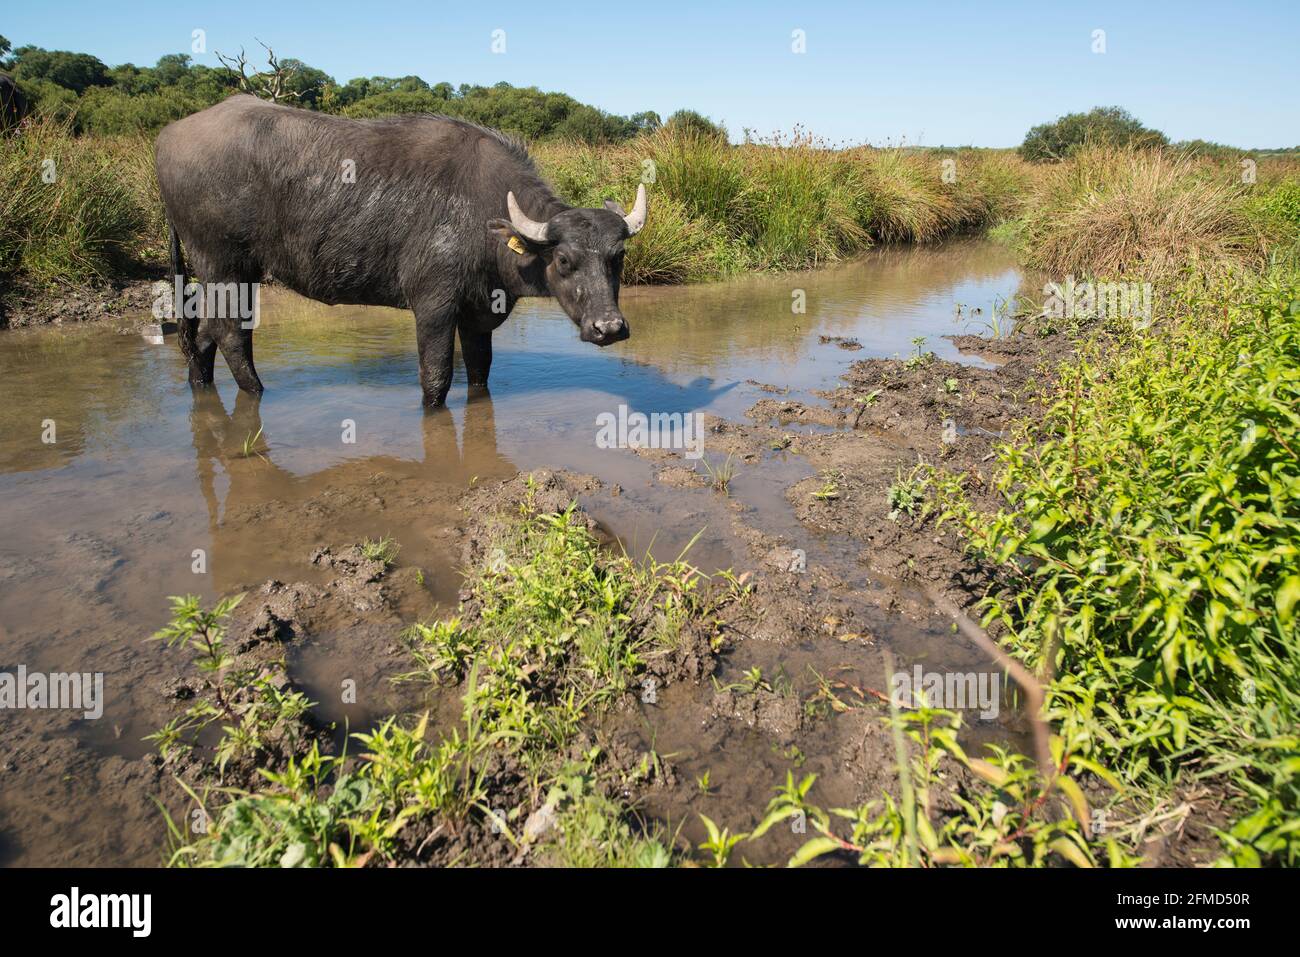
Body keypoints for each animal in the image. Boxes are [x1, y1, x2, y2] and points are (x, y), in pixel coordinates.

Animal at [154, 94, 647, 406]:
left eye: (617, 258)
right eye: (564, 260)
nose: (610, 328)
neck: (483, 215)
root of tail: (167, 137)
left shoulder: (477, 313)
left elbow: (480, 374)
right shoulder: (432, 307)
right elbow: (437, 380)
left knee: (205, 334)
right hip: (222, 263)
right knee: (231, 334)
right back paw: (257, 392)